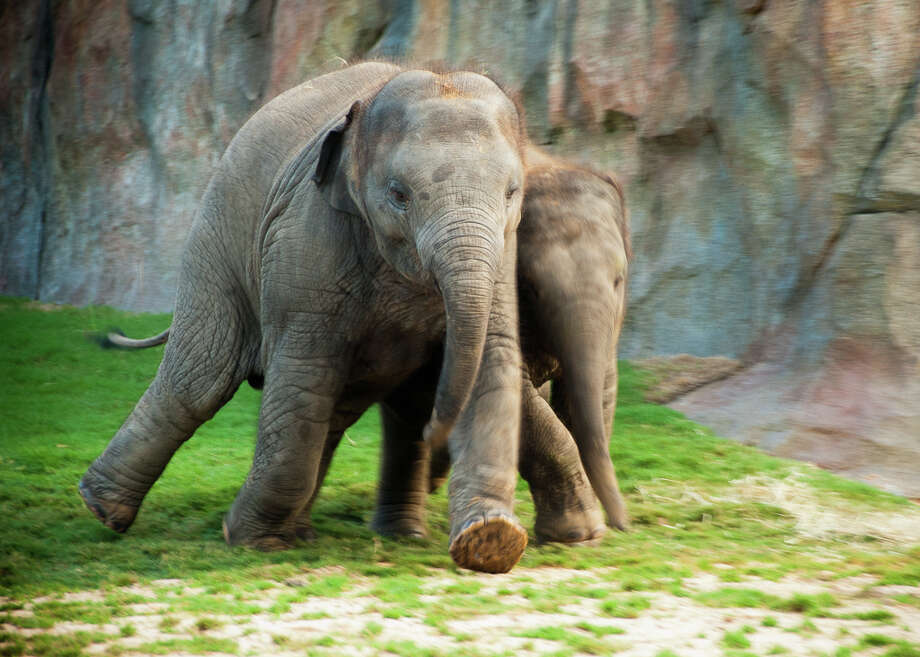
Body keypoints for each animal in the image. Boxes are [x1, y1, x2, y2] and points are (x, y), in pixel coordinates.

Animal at [79, 62, 531, 574]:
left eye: (512, 193)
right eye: (399, 194)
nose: (434, 430)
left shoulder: (505, 247)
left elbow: (493, 361)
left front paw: (491, 540)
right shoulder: (307, 233)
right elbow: (305, 369)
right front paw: (250, 540)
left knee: (330, 410)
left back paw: (297, 530)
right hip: (217, 237)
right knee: (199, 381)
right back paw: (102, 509)